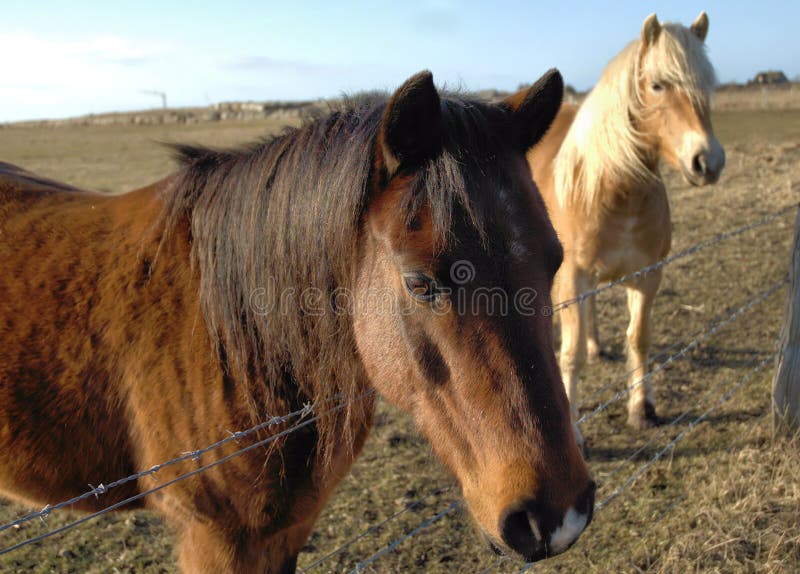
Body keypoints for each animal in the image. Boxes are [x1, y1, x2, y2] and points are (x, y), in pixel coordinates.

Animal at [0, 69, 595, 572]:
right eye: (420, 283)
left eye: (555, 261)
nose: (557, 515)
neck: (233, 339)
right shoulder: (214, 541)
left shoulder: (286, 531)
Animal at [528, 12, 725, 442]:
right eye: (658, 84)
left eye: (708, 84)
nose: (708, 161)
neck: (614, 190)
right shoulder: (573, 278)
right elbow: (570, 356)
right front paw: (574, 432)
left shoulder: (647, 275)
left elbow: (638, 339)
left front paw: (642, 408)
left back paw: (597, 346)